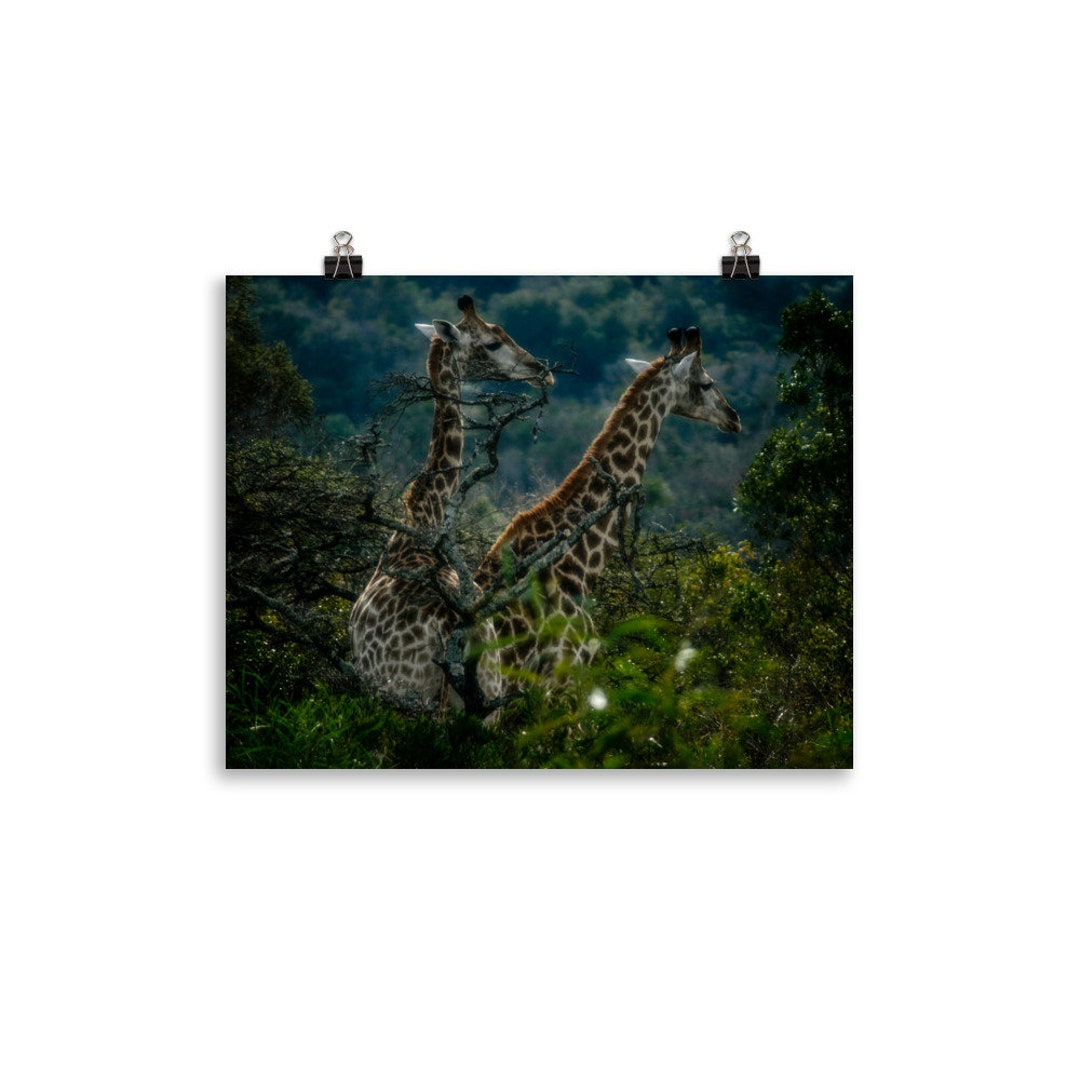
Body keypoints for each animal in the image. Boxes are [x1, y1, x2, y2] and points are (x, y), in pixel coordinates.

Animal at [349, 295, 552, 710]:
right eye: (492, 342)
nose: (541, 370)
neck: (424, 518)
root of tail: (448, 628)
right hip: (486, 697)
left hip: (401, 694)